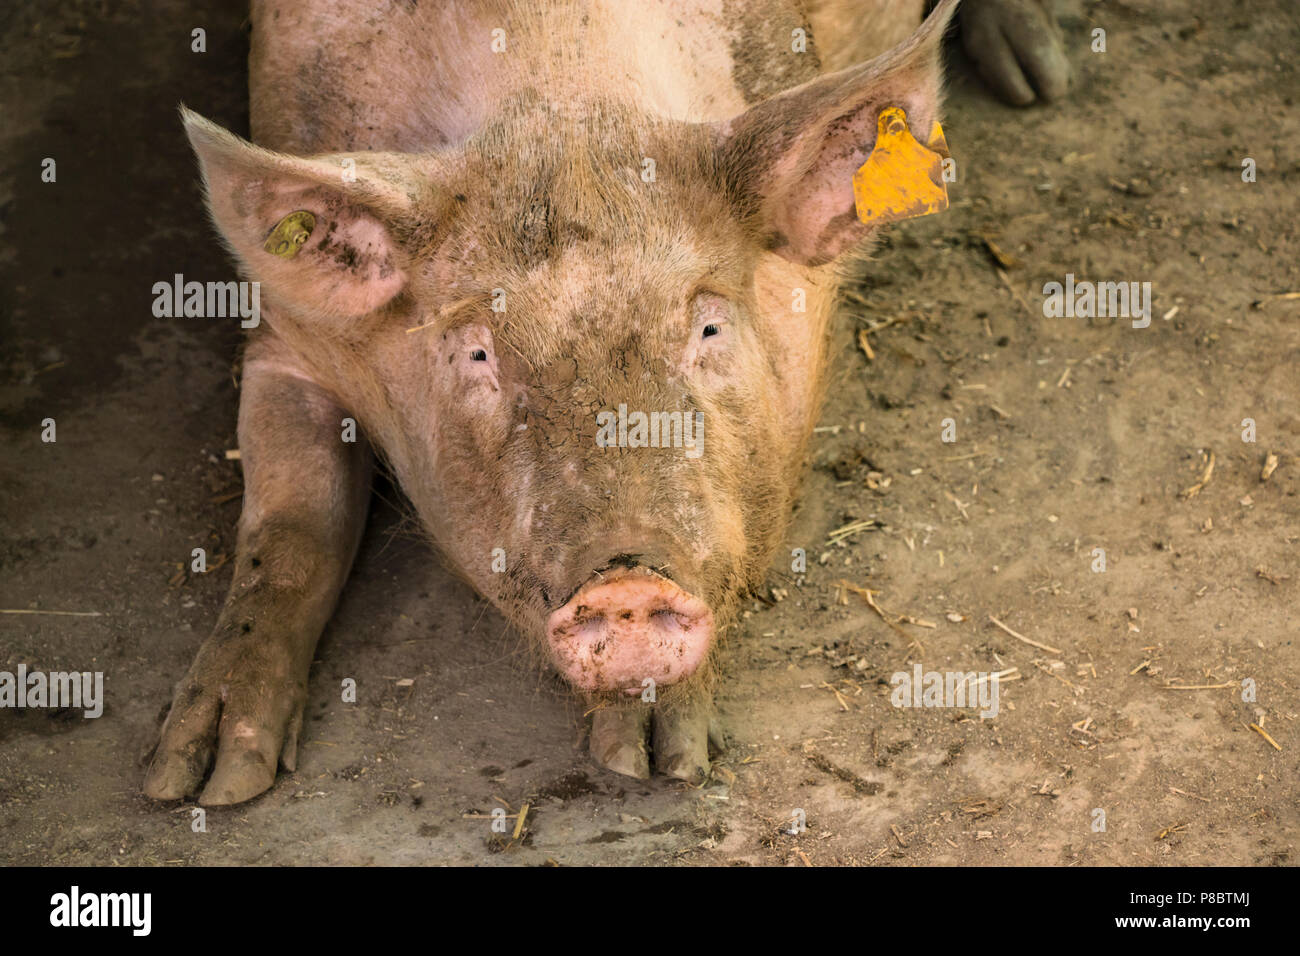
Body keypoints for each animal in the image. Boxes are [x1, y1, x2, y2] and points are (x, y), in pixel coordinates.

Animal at [145, 0, 973, 806]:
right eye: (478, 353)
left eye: (709, 326)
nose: (627, 583)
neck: (562, 83)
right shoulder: (282, 339)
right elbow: (290, 534)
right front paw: (203, 780)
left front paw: (663, 763)